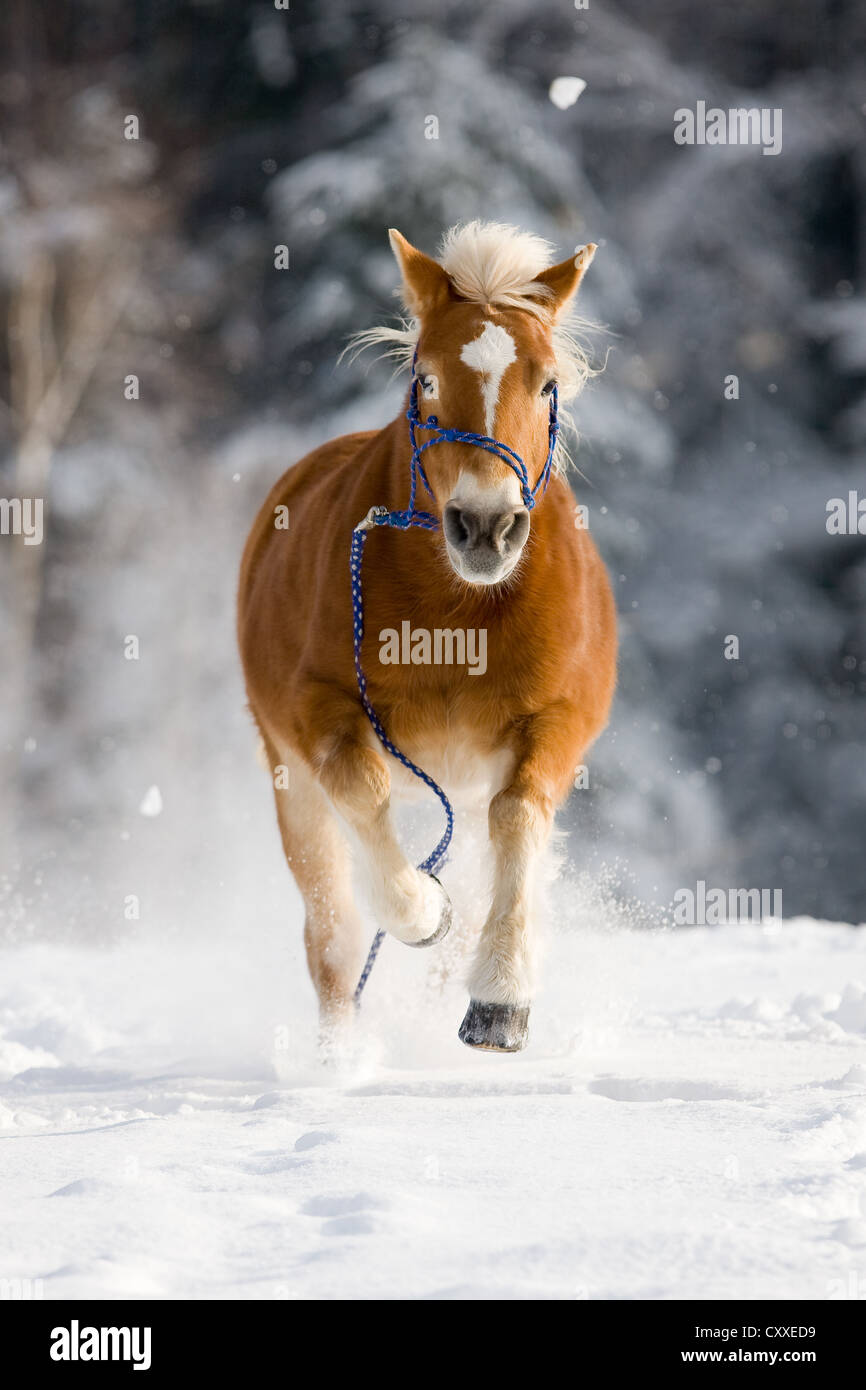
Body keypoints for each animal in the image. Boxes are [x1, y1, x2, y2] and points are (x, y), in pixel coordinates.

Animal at [237, 221, 616, 1052]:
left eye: (547, 384)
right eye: (429, 379)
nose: (486, 525)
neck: (455, 614)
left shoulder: (559, 717)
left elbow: (517, 817)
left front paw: (499, 999)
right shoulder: (320, 711)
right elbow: (368, 805)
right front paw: (424, 910)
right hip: (290, 777)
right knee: (331, 930)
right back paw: (339, 1056)